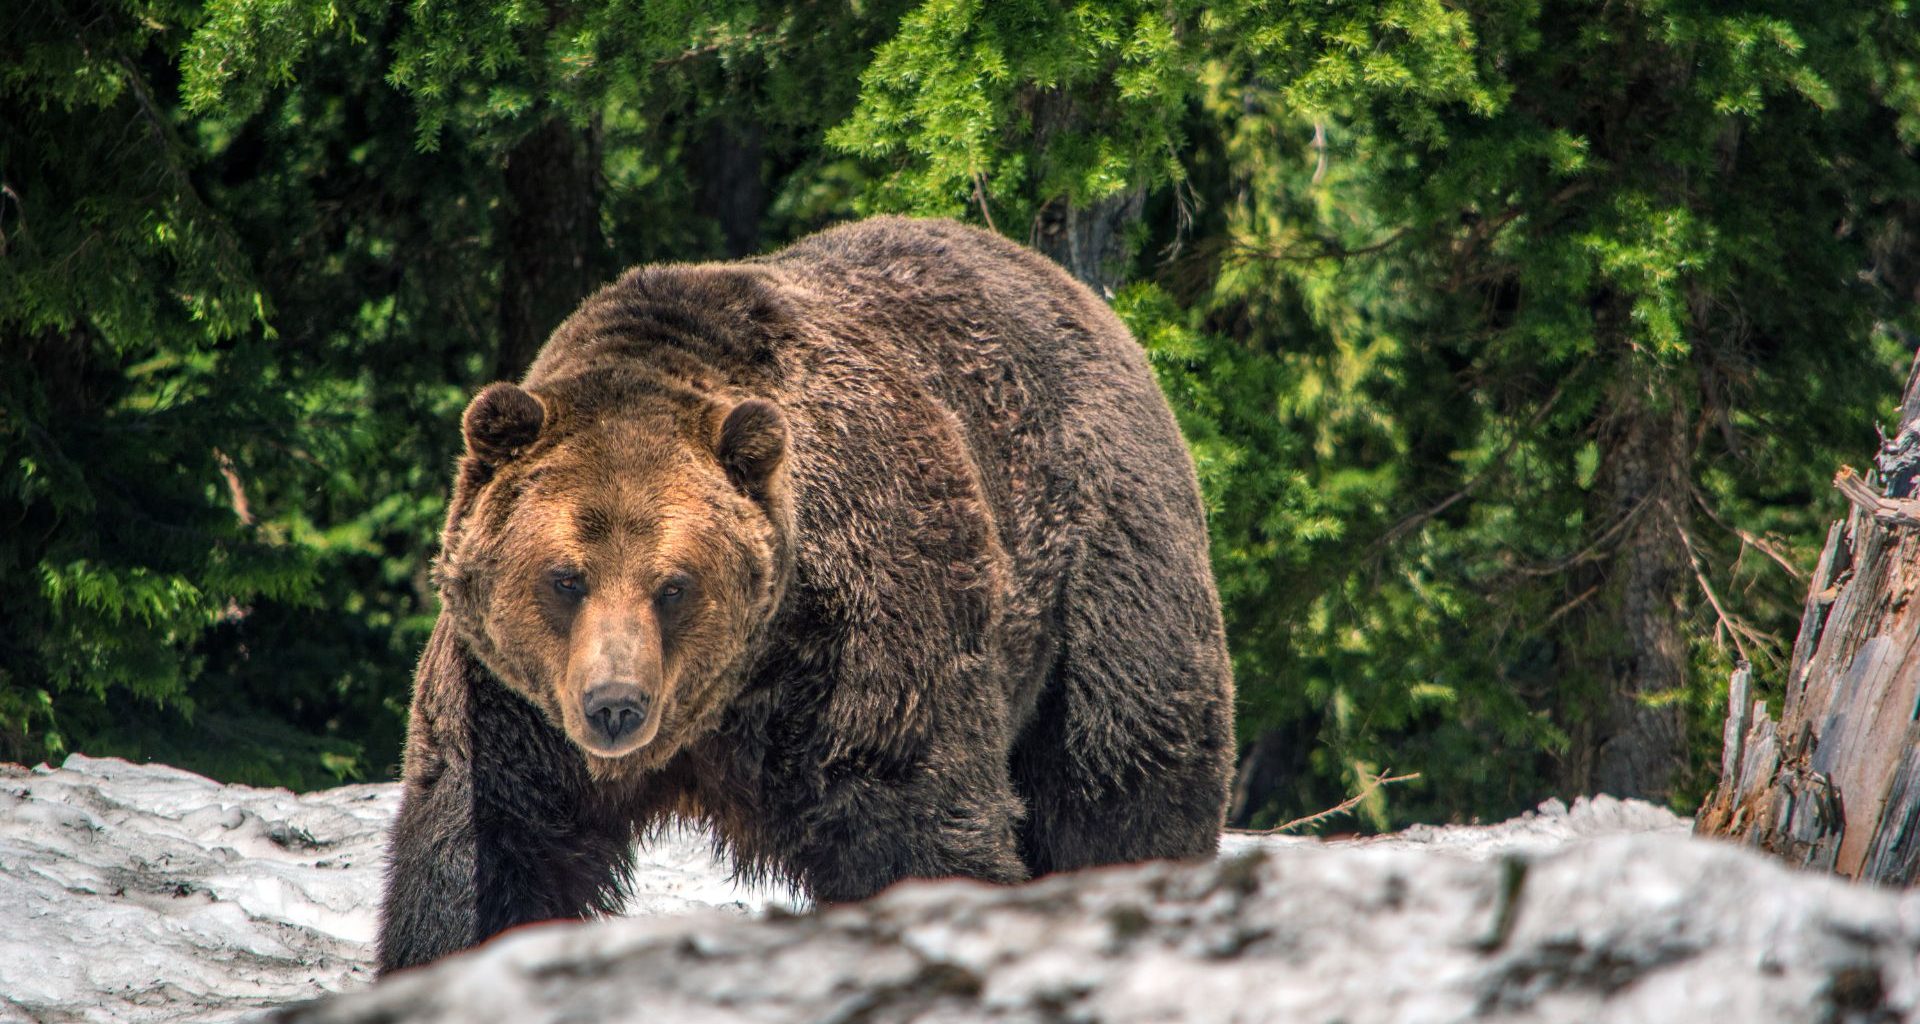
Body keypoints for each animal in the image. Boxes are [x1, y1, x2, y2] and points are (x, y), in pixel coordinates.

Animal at [377, 216, 1236, 973]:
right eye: (566, 577)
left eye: (674, 585)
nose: (615, 704)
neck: (720, 702)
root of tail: (1071, 289)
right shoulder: (511, 706)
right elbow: (480, 857)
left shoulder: (856, 642)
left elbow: (913, 822)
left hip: (1102, 559)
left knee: (1124, 764)